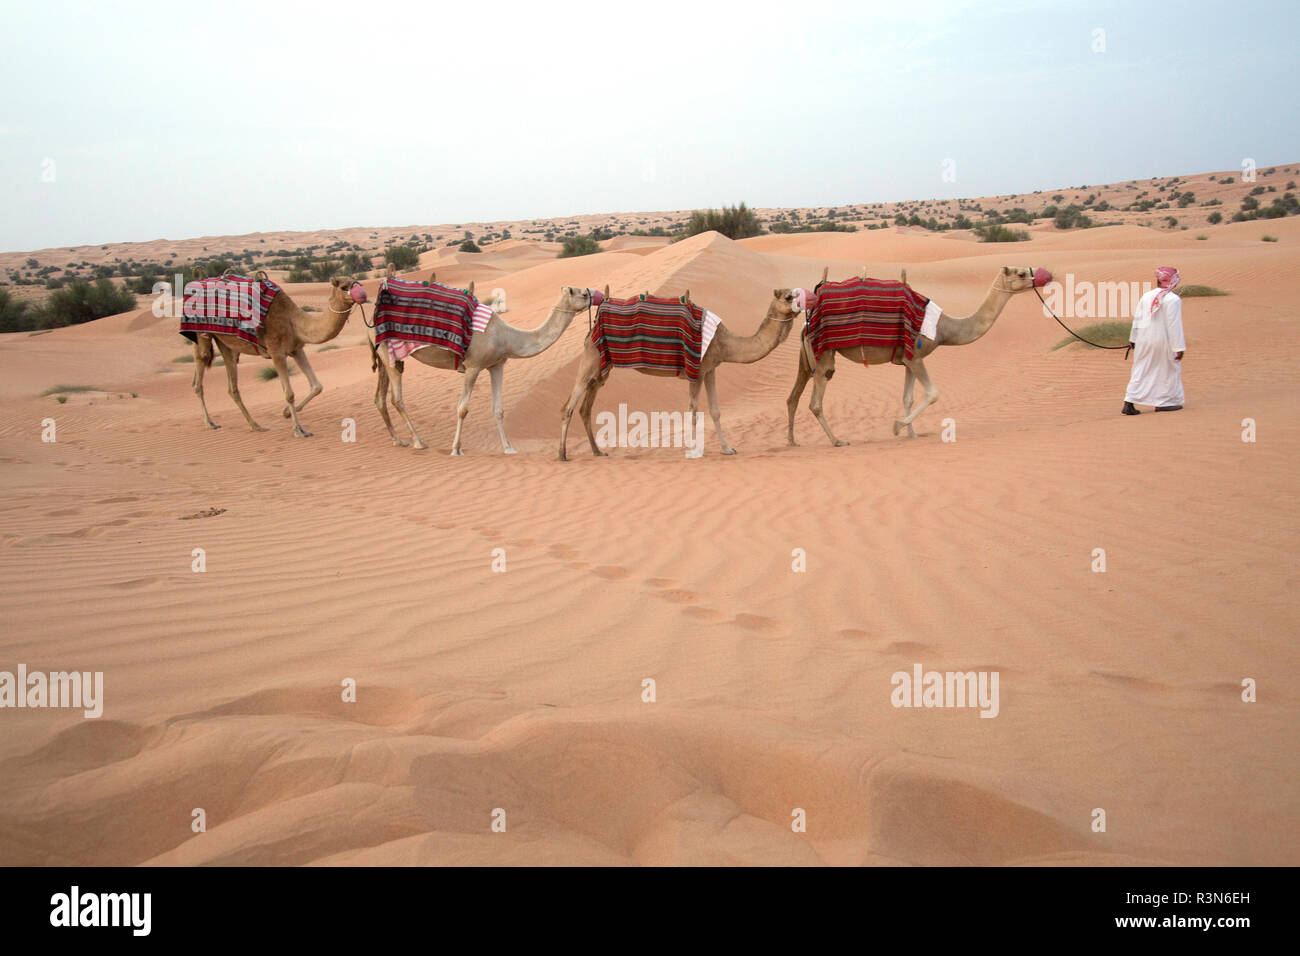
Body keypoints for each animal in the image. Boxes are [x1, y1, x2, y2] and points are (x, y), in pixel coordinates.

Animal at [191, 271, 365, 437]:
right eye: (343, 287)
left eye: (357, 282)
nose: (362, 295)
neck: (293, 321)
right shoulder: (276, 352)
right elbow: (289, 394)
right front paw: (299, 430)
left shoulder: (296, 349)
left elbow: (317, 386)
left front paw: (286, 413)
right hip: (201, 334)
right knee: (200, 373)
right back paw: (211, 423)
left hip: (226, 343)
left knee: (231, 384)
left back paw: (255, 425)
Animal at [368, 276, 595, 455]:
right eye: (583, 294)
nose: (594, 294)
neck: (506, 337)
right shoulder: (473, 366)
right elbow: (462, 408)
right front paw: (456, 448)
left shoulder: (496, 365)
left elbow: (498, 409)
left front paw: (508, 448)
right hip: (389, 351)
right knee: (397, 399)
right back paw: (418, 442)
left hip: (386, 356)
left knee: (380, 398)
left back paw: (398, 440)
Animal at [559, 288, 801, 460]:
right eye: (789, 296)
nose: (801, 304)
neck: (725, 342)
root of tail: (593, 322)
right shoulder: (698, 370)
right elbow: (693, 410)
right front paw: (694, 451)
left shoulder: (711, 368)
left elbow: (715, 411)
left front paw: (728, 449)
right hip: (591, 358)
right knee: (568, 406)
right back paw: (562, 455)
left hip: (602, 369)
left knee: (585, 408)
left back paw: (598, 452)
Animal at [786, 265, 1047, 445]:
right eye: (1021, 273)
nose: (1044, 274)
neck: (943, 329)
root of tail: (807, 321)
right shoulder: (916, 357)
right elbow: (933, 393)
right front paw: (898, 426)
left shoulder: (906, 361)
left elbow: (907, 397)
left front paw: (911, 433)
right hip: (824, 356)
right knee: (815, 402)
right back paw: (838, 441)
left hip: (805, 358)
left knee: (793, 397)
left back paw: (792, 441)